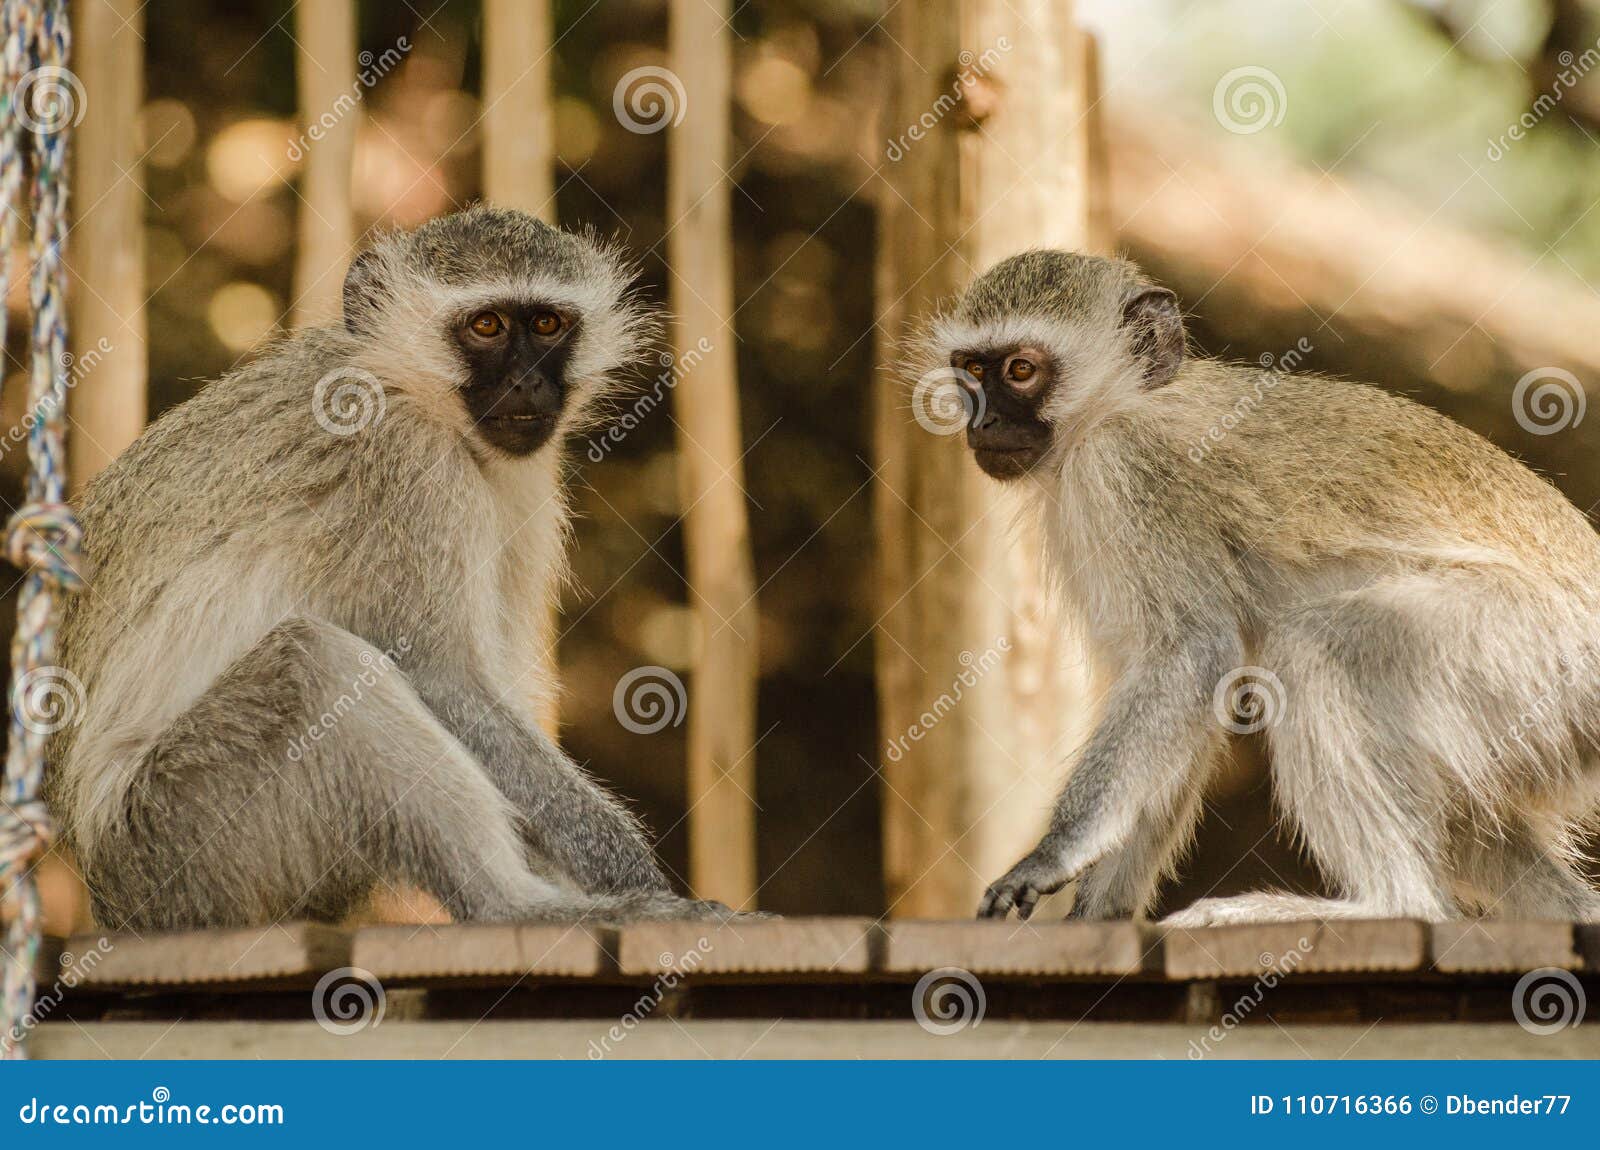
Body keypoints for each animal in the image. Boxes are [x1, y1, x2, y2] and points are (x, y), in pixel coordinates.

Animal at [46, 206, 743, 931]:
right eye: (487, 326)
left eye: (548, 324)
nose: (528, 383)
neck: (408, 386)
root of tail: (112, 901)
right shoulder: (405, 460)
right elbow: (444, 679)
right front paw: (632, 874)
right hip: (181, 836)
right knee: (315, 667)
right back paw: (515, 907)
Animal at [924, 248, 1600, 927]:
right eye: (972, 371)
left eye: (1021, 370)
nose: (982, 421)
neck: (1120, 403)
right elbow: (1184, 705)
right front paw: (1100, 915)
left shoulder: (1124, 469)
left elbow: (1190, 655)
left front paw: (1055, 852)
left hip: (1528, 654)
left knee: (1319, 650)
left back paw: (1387, 905)